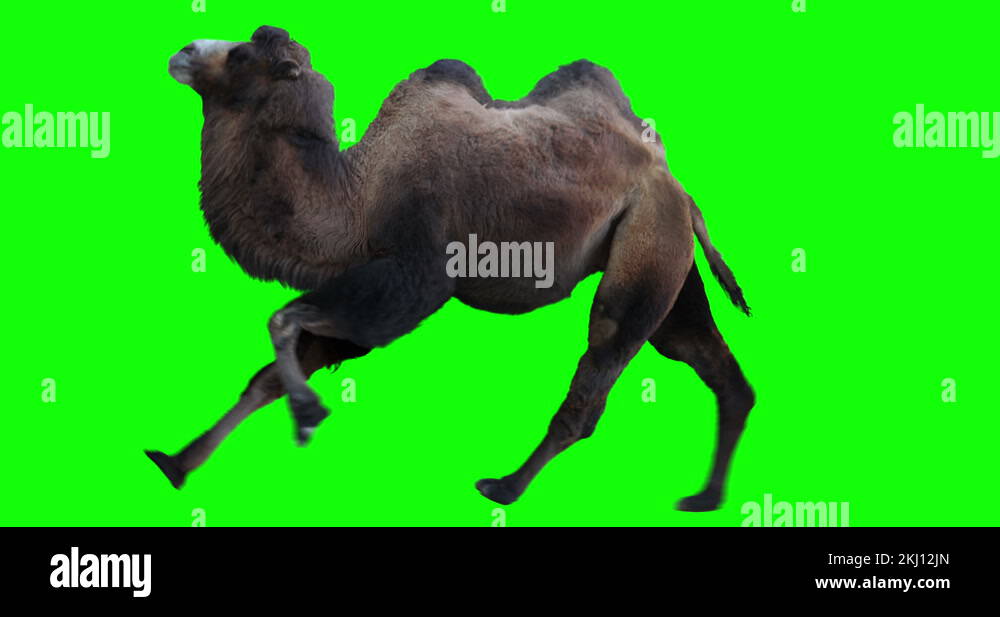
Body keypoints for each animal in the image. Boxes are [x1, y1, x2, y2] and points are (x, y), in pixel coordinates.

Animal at [147, 25, 756, 512]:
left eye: (242, 54)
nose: (182, 50)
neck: (356, 196)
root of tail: (672, 181)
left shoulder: (417, 269)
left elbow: (285, 319)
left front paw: (308, 412)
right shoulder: (361, 277)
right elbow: (271, 372)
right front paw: (176, 462)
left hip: (647, 238)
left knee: (604, 354)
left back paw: (505, 487)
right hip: (668, 255)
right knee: (704, 357)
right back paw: (706, 497)